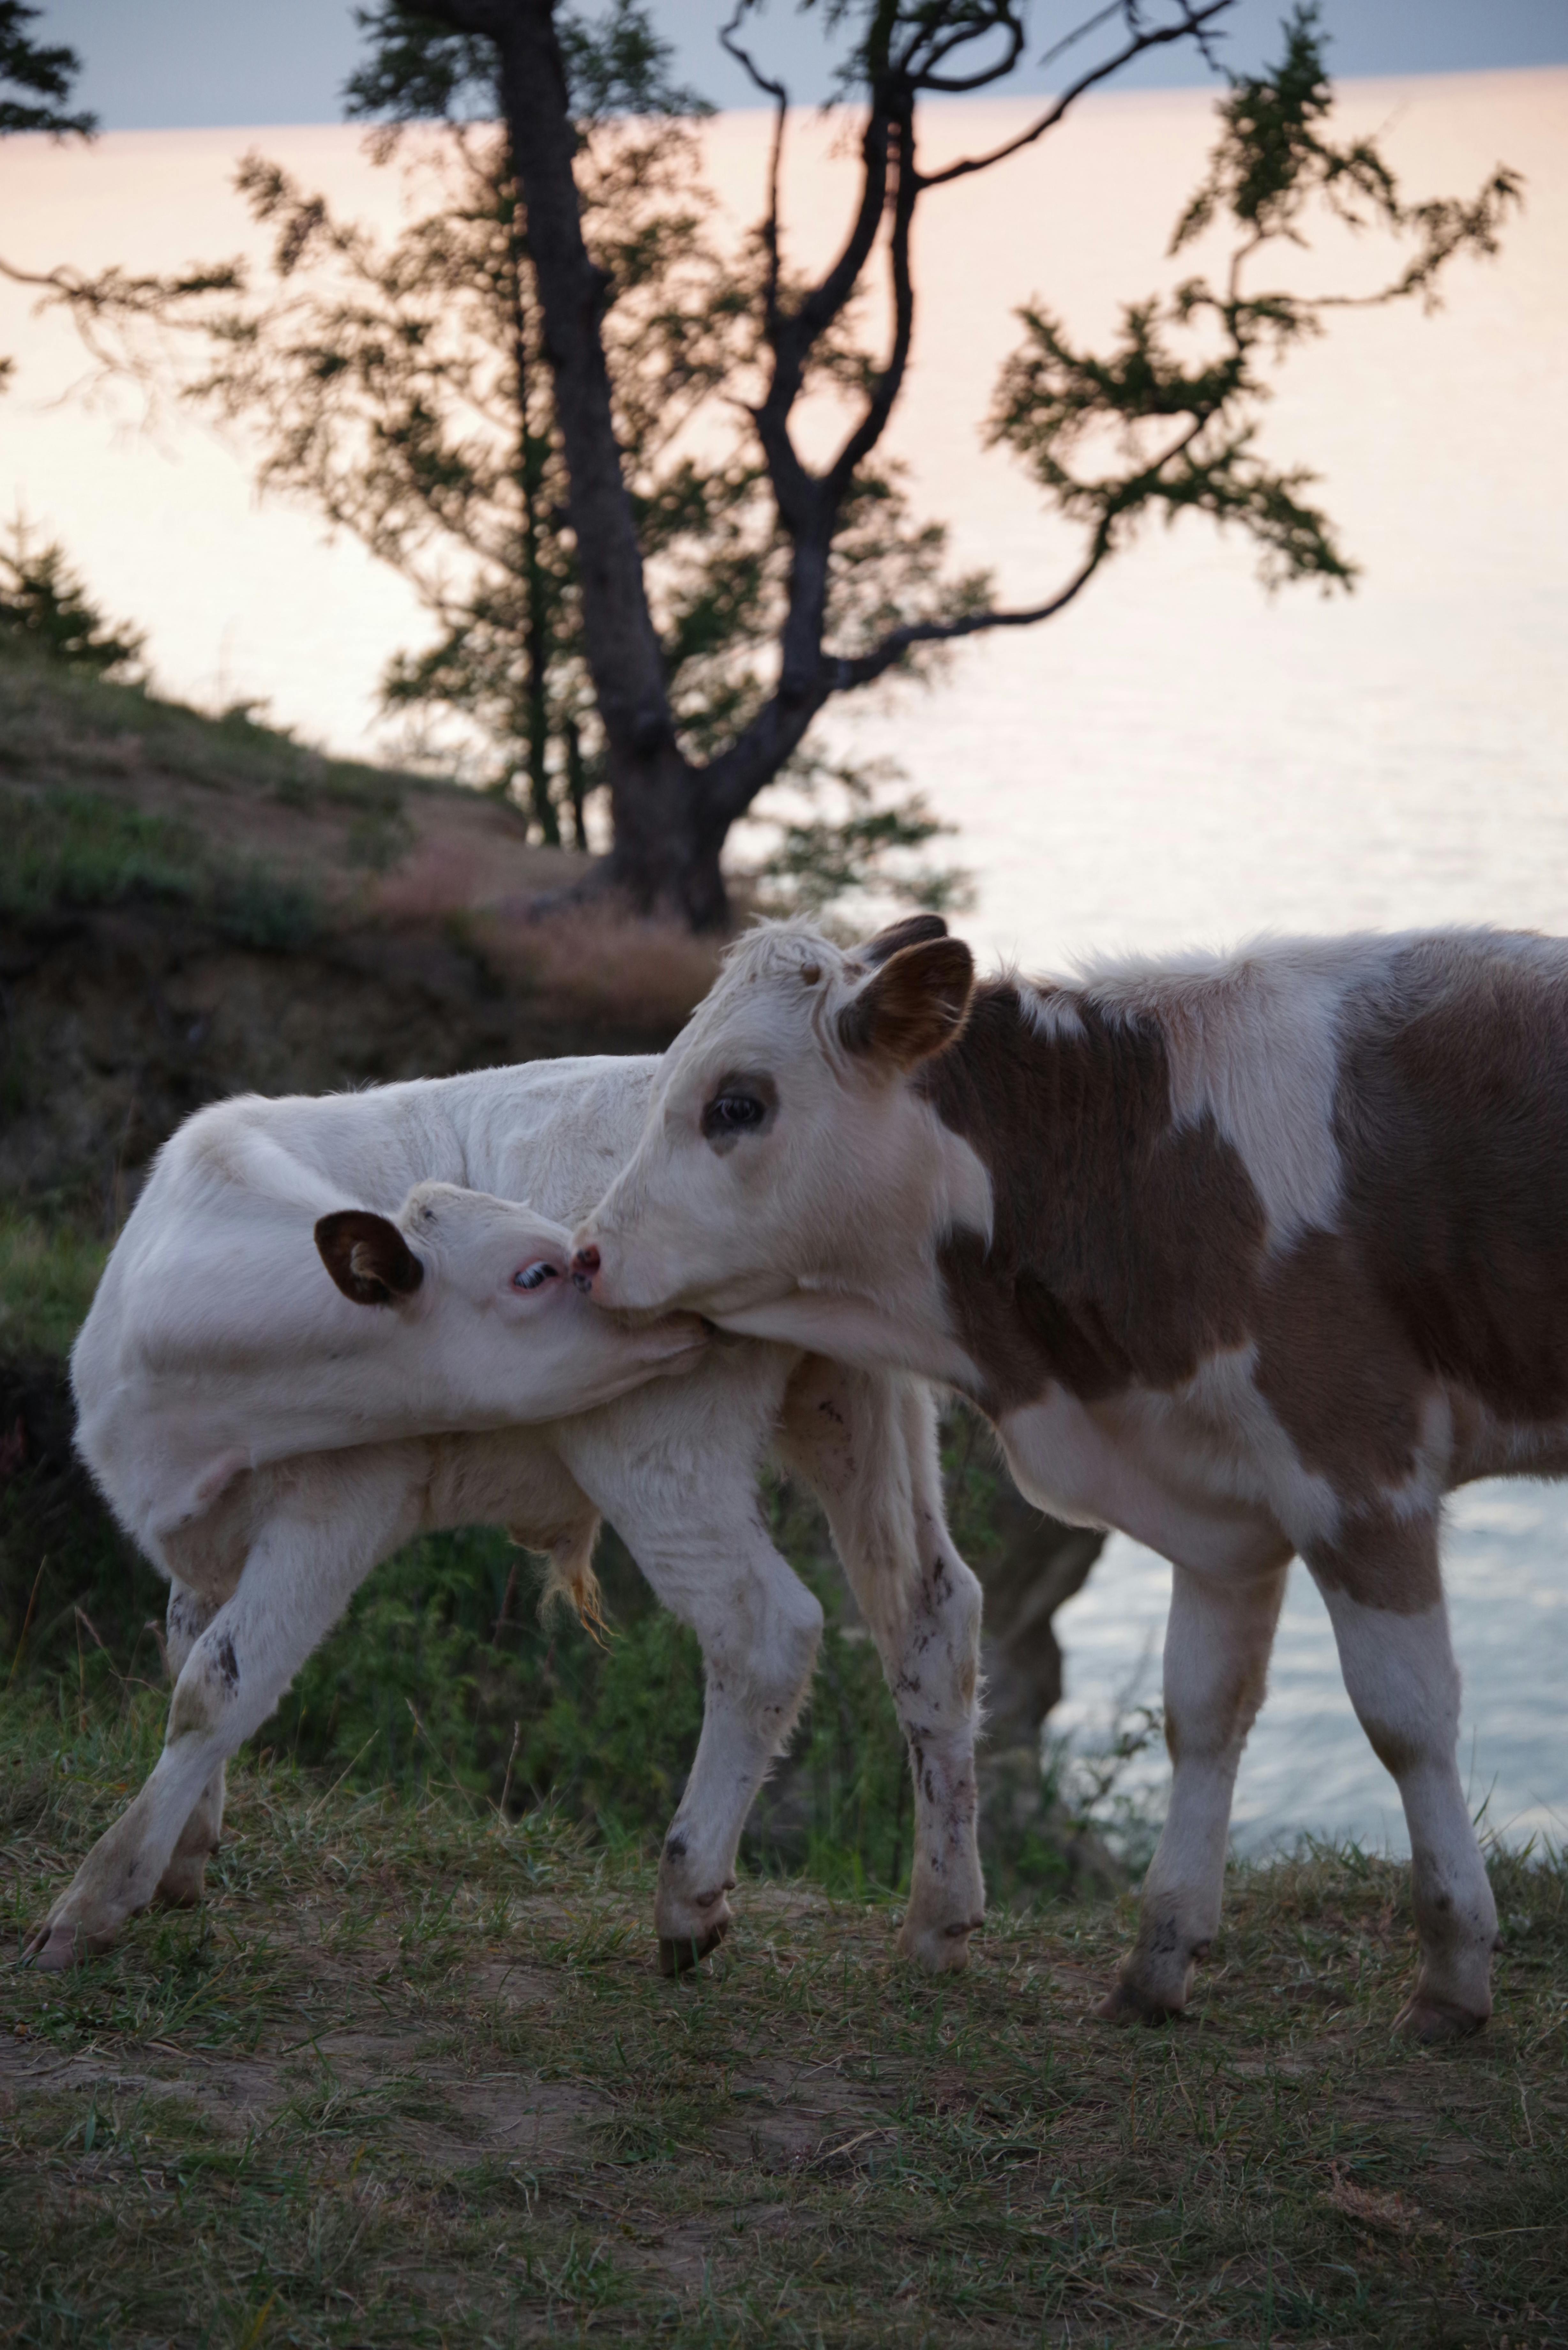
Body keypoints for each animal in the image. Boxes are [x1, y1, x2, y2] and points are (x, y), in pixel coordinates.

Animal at [24, 1054, 987, 1979]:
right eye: (534, 1271)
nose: (605, 1259)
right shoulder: (201, 1541)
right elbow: (187, 1647)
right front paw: (184, 1853)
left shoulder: (337, 1507)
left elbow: (216, 1688)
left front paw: (96, 1898)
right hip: (855, 1410)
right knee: (933, 1621)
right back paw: (938, 1921)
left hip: (660, 1452)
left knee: (765, 1632)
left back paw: (689, 1898)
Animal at [569, 913, 1568, 2040]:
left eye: (736, 1104)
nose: (588, 1254)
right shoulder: (1222, 1514)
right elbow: (1203, 1713)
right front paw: (1159, 1958)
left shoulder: (1356, 1466)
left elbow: (1404, 1718)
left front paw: (1452, 1973)